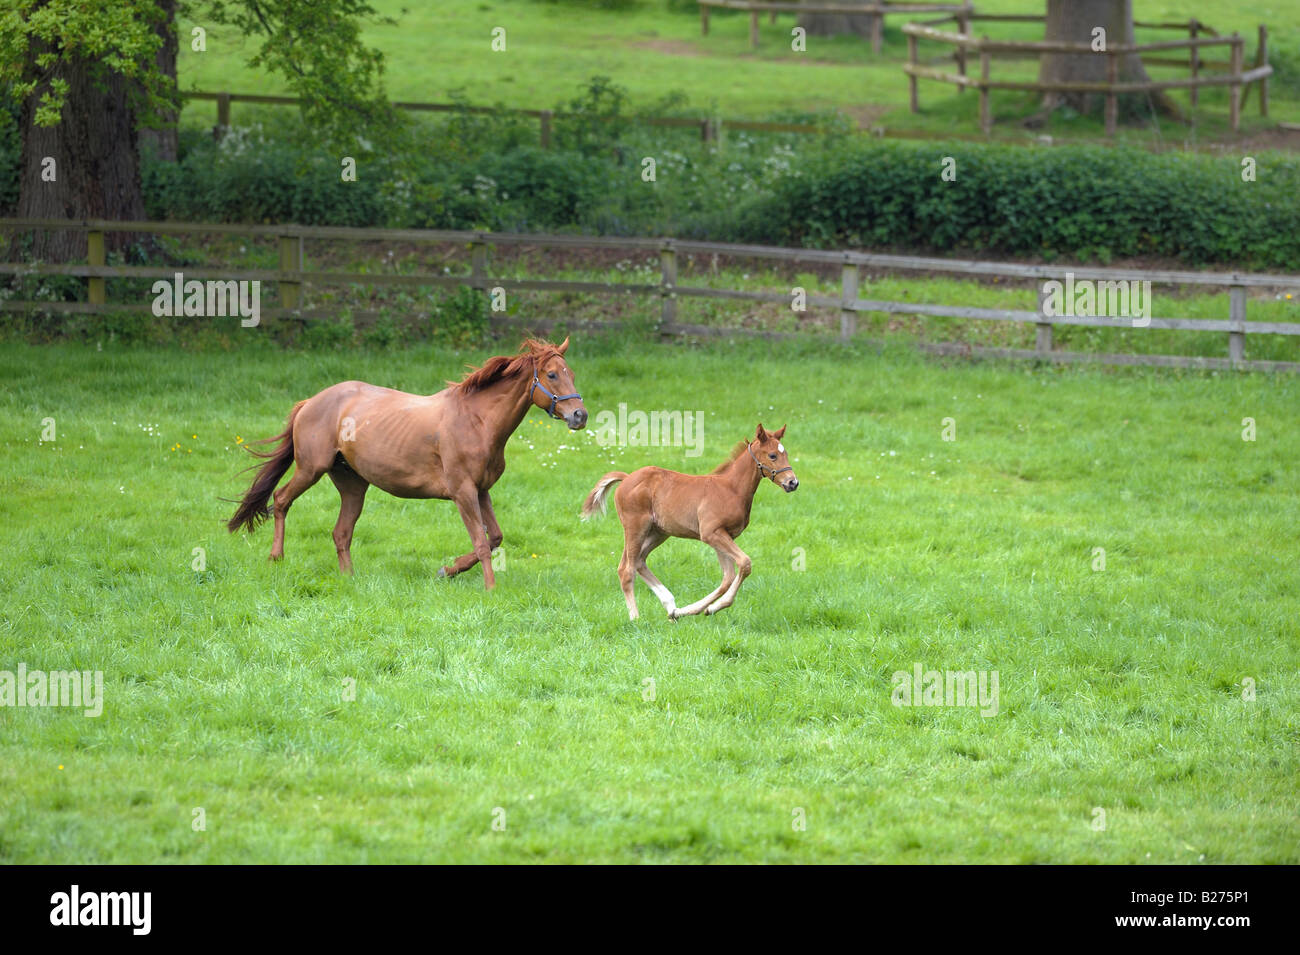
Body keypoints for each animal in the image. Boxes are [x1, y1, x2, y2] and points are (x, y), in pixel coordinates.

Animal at [227, 338, 586, 589]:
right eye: (552, 375)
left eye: (572, 374)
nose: (579, 415)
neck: (477, 420)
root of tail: (310, 402)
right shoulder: (463, 492)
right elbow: (483, 542)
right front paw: (490, 588)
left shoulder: (481, 490)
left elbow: (495, 537)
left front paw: (447, 571)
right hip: (310, 469)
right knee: (280, 500)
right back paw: (276, 557)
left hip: (352, 485)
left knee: (341, 533)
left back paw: (349, 580)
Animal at [581, 424, 797, 619]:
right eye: (772, 456)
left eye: (785, 453)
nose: (793, 483)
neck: (731, 489)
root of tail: (626, 478)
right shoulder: (711, 533)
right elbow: (744, 563)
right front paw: (703, 608)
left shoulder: (724, 536)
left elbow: (727, 578)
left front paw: (698, 610)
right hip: (635, 527)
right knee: (626, 569)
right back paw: (636, 618)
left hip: (658, 532)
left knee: (639, 561)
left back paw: (671, 607)